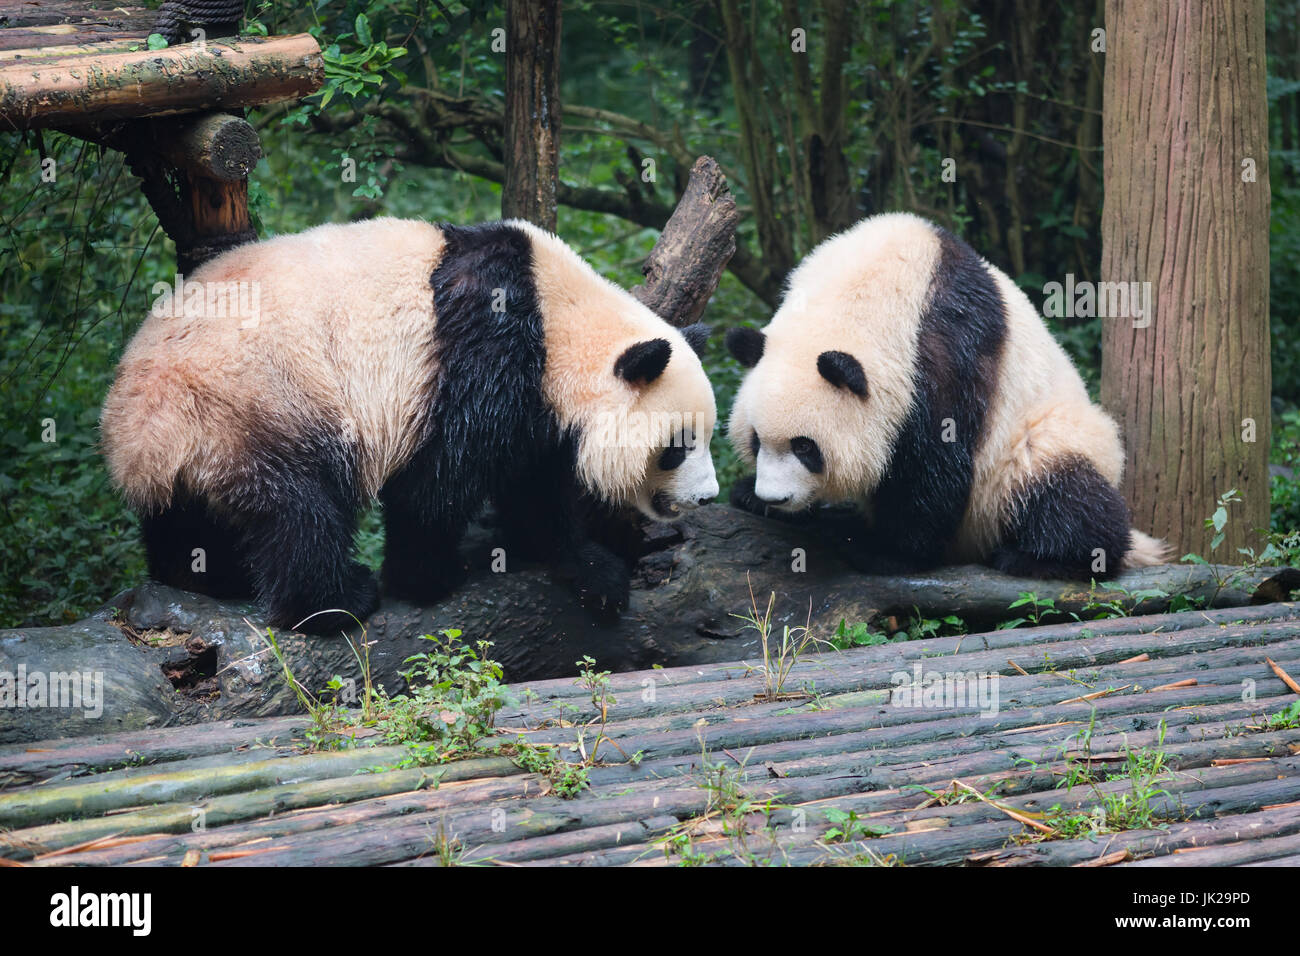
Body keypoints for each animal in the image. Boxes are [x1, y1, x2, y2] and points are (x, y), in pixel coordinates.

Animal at [101, 217, 719, 633]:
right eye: (678, 446)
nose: (708, 497)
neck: (561, 316)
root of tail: (136, 434)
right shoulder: (487, 345)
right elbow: (443, 475)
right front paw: (426, 578)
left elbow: (536, 484)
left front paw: (592, 571)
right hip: (256, 402)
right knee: (296, 507)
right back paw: (336, 599)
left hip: (199, 444)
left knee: (189, 524)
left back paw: (206, 578)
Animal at [724, 212, 1167, 580]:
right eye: (756, 440)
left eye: (805, 447)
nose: (775, 497)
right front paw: (748, 494)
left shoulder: (945, 353)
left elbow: (935, 465)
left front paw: (888, 552)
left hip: (1038, 446)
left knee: (1062, 485)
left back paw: (1039, 558)